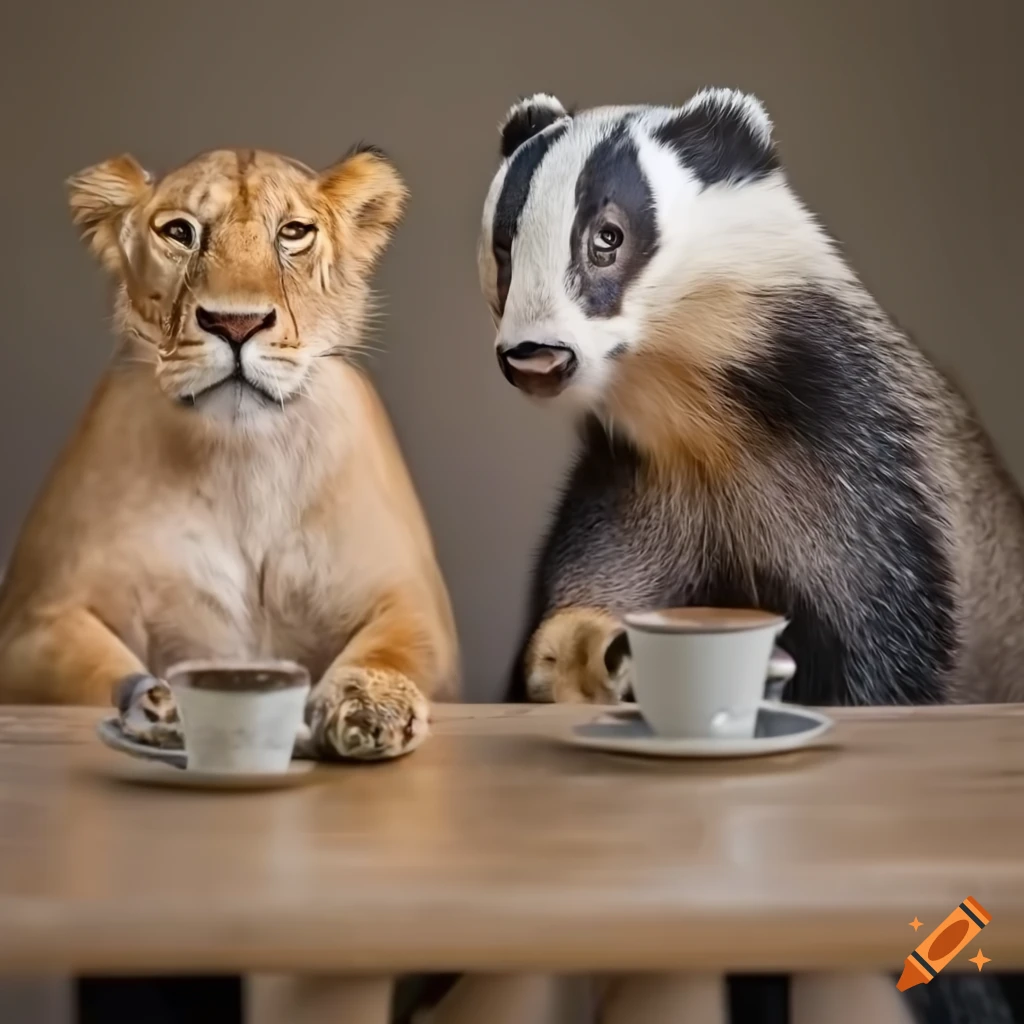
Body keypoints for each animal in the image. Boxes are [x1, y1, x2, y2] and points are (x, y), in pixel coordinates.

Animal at [0, 144, 459, 760]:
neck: (245, 464)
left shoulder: (410, 598)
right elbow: (98, 669)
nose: (235, 324)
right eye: (180, 231)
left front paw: (368, 706)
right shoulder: (35, 620)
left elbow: (395, 649)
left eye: (293, 232)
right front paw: (161, 709)